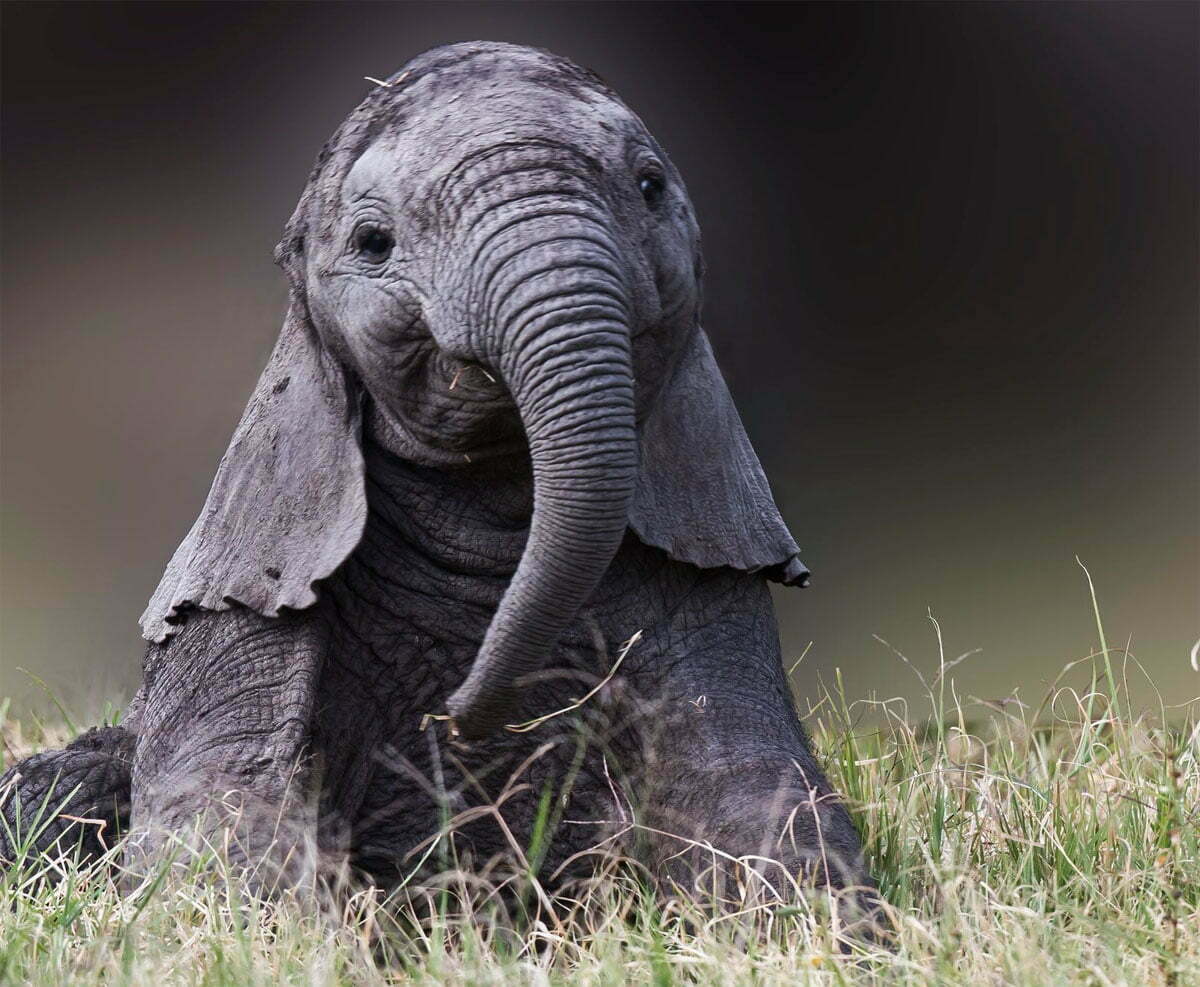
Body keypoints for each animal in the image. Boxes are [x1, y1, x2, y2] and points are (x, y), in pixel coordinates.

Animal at [1, 42, 877, 924]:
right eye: (373, 240)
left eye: (651, 187)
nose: (459, 714)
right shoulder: (234, 610)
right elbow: (219, 821)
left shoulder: (718, 589)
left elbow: (760, 803)